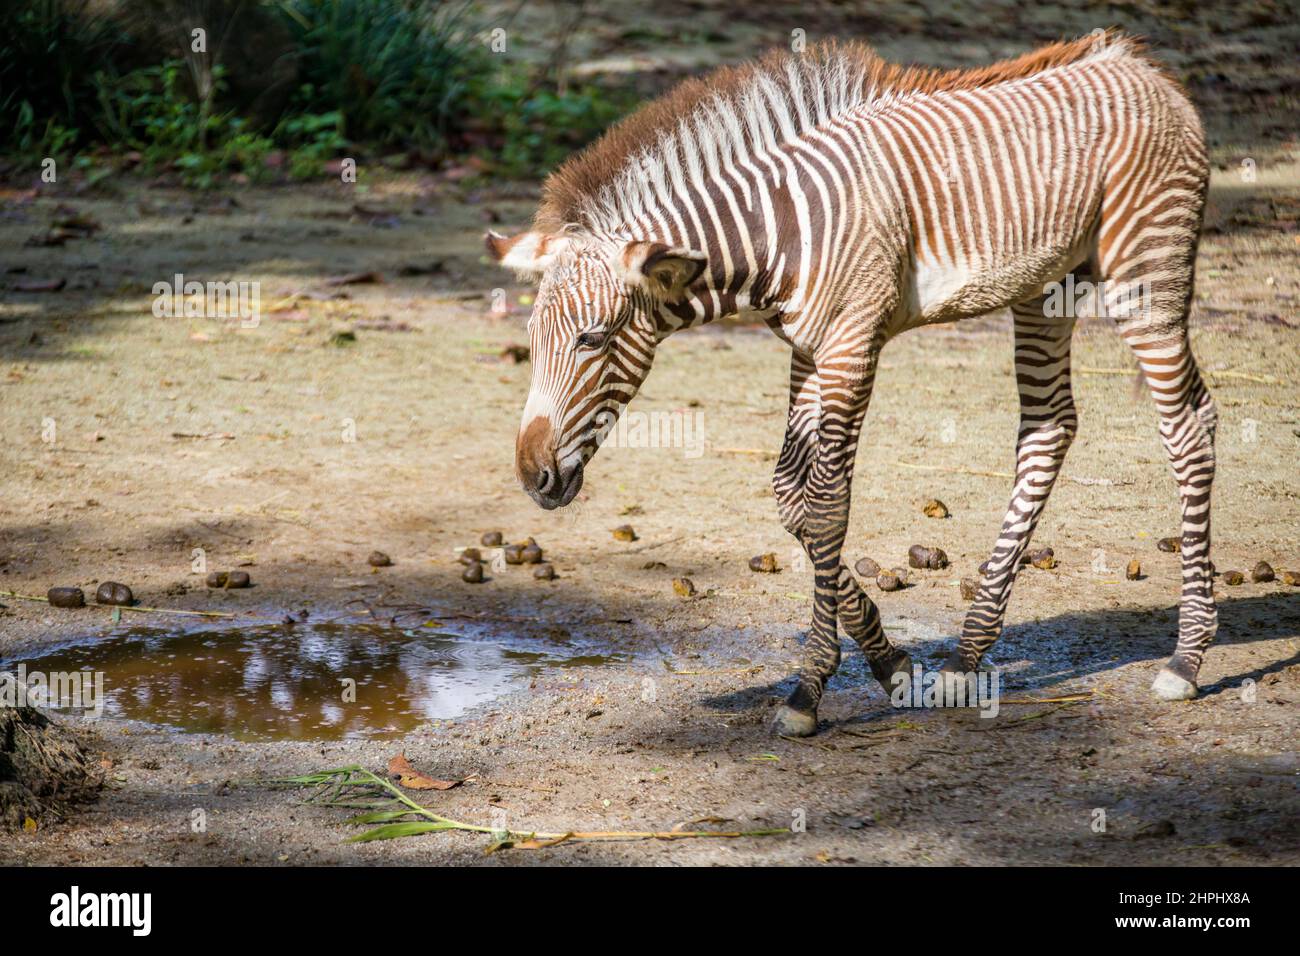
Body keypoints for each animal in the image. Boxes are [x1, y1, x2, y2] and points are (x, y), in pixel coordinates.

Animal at [488, 31, 1215, 736]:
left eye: (592, 339)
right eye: (531, 341)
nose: (531, 476)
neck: (773, 236)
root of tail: (1140, 63)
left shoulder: (850, 346)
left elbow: (827, 504)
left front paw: (808, 693)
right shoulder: (808, 352)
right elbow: (790, 497)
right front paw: (892, 665)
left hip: (1145, 271)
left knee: (1188, 424)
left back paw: (1186, 659)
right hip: (1046, 285)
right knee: (1050, 426)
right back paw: (966, 659)